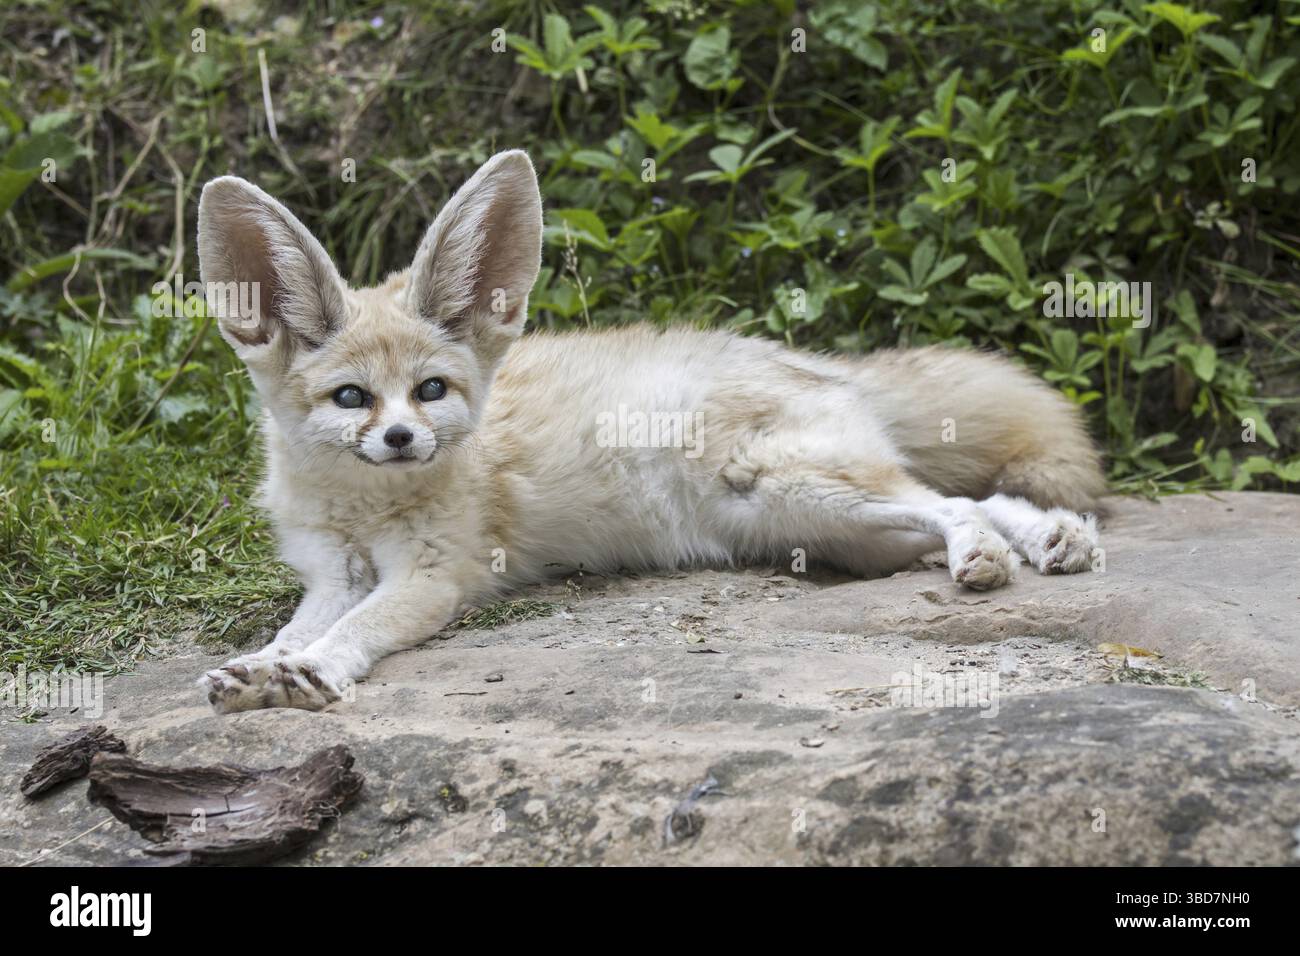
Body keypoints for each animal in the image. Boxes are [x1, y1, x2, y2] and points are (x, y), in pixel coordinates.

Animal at [196, 150, 1104, 714]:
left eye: (430, 391)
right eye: (352, 398)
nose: (400, 442)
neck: (361, 511)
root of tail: (808, 358)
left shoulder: (432, 577)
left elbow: (354, 632)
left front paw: (311, 671)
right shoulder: (331, 575)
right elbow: (295, 627)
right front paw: (265, 668)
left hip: (791, 489)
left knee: (958, 502)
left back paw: (1001, 550)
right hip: (816, 528)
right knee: (964, 501)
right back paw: (1050, 540)